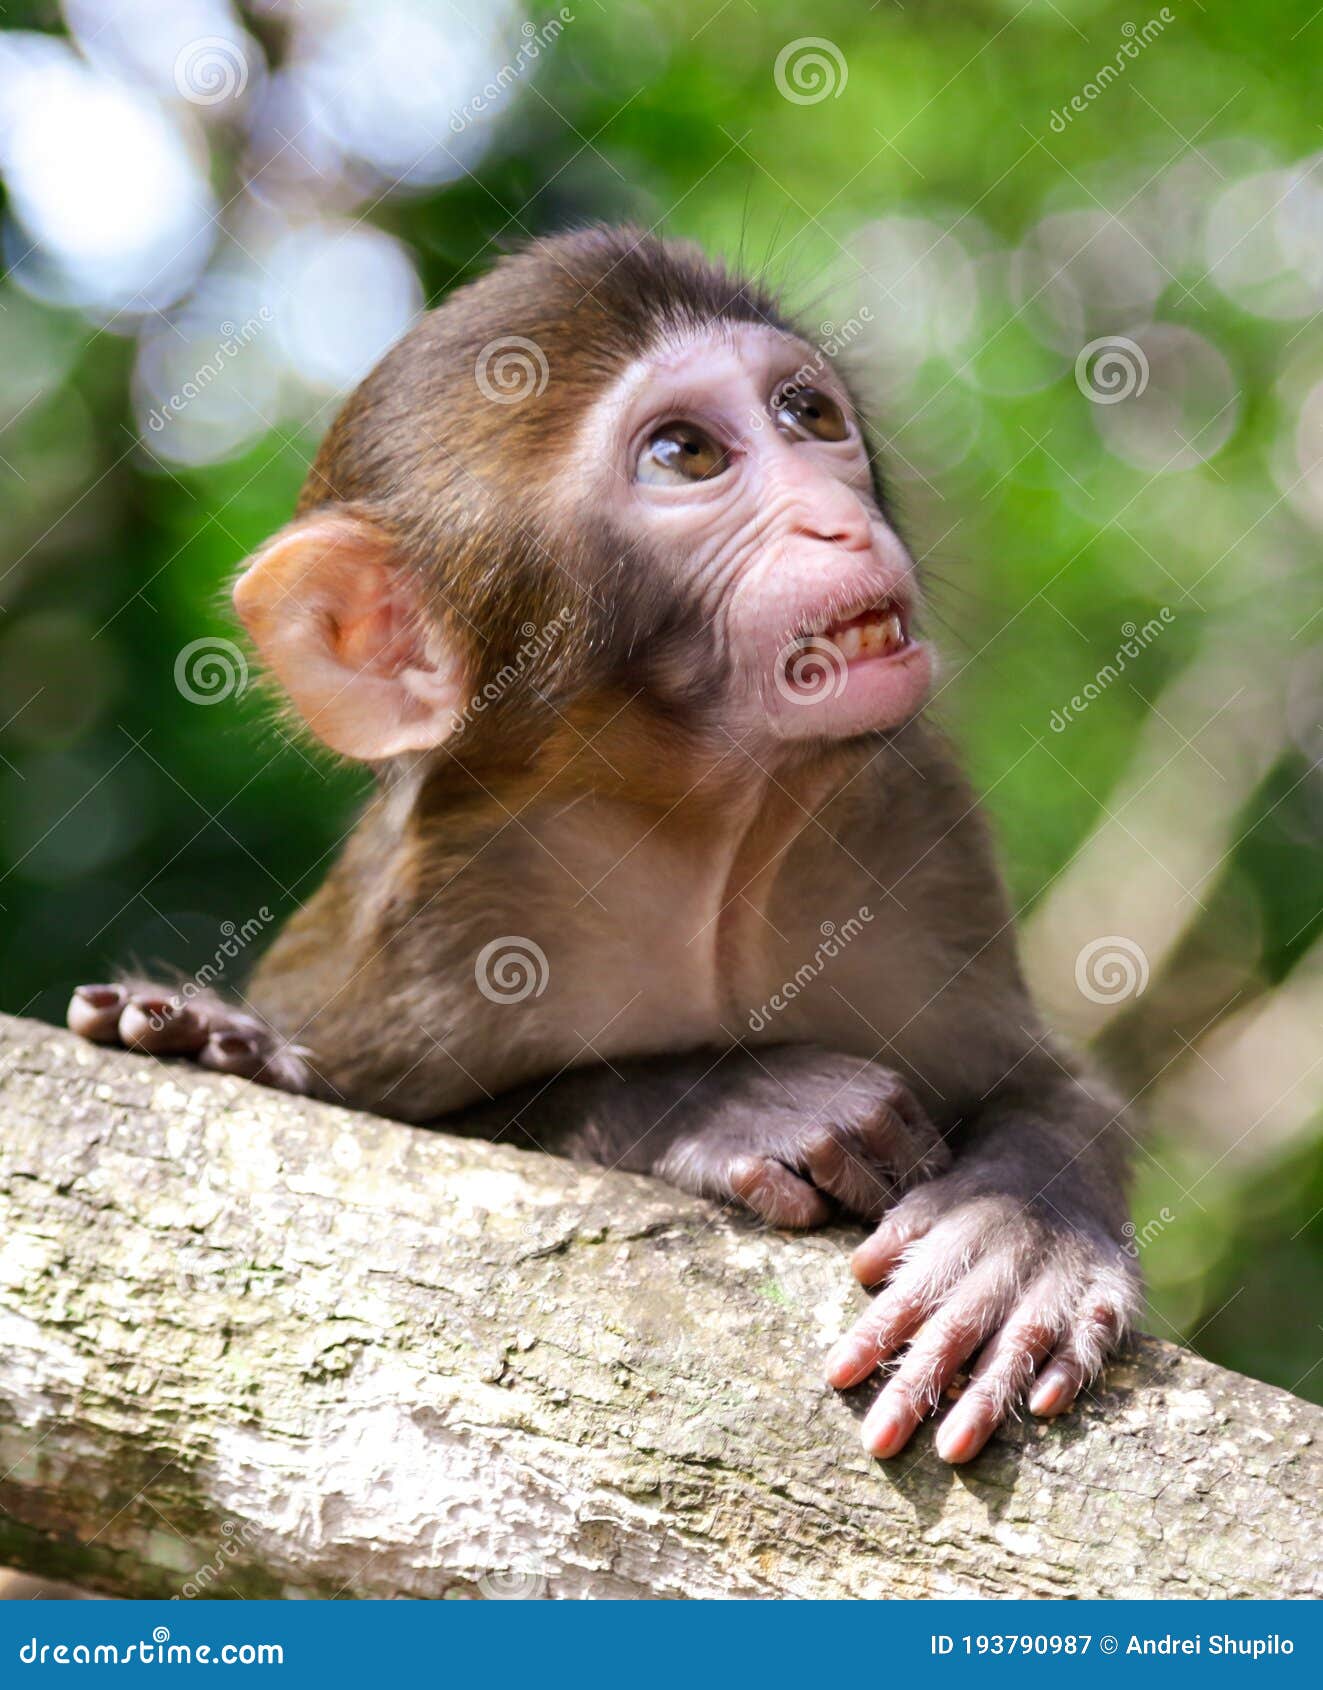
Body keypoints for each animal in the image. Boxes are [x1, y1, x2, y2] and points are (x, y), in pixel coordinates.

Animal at [68, 225, 1139, 1464]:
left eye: (808, 415)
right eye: (685, 453)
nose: (838, 519)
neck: (709, 829)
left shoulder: (917, 822)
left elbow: (1053, 1092)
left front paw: (1015, 1232)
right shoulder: (440, 922)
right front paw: (726, 1103)